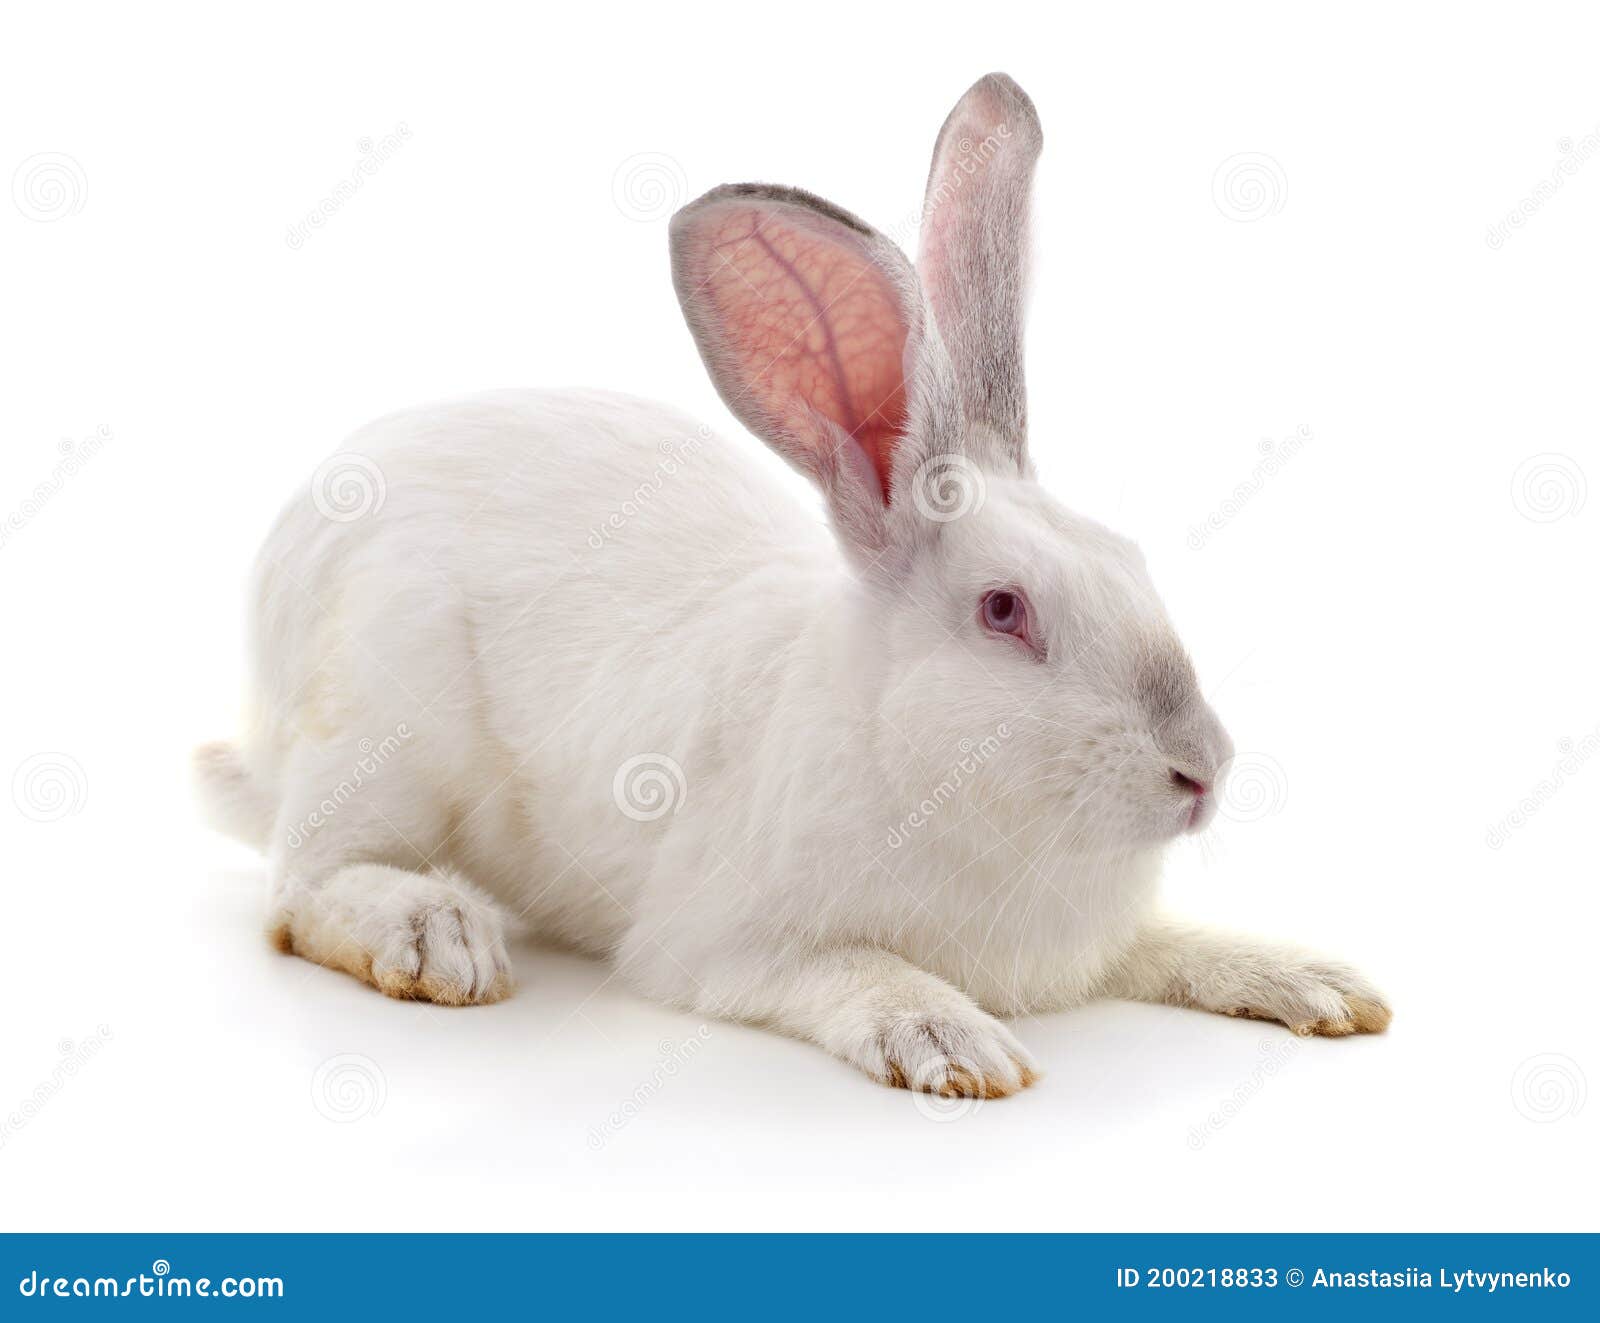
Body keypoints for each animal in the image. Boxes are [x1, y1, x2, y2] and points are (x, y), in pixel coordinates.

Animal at [196, 73, 1389, 1098]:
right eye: (1003, 611)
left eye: (1136, 564)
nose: (1202, 771)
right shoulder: (722, 945)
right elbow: (850, 971)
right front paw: (952, 1041)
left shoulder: (1108, 941)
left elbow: (1179, 945)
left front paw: (1316, 982)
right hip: (384, 735)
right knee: (302, 887)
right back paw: (436, 939)